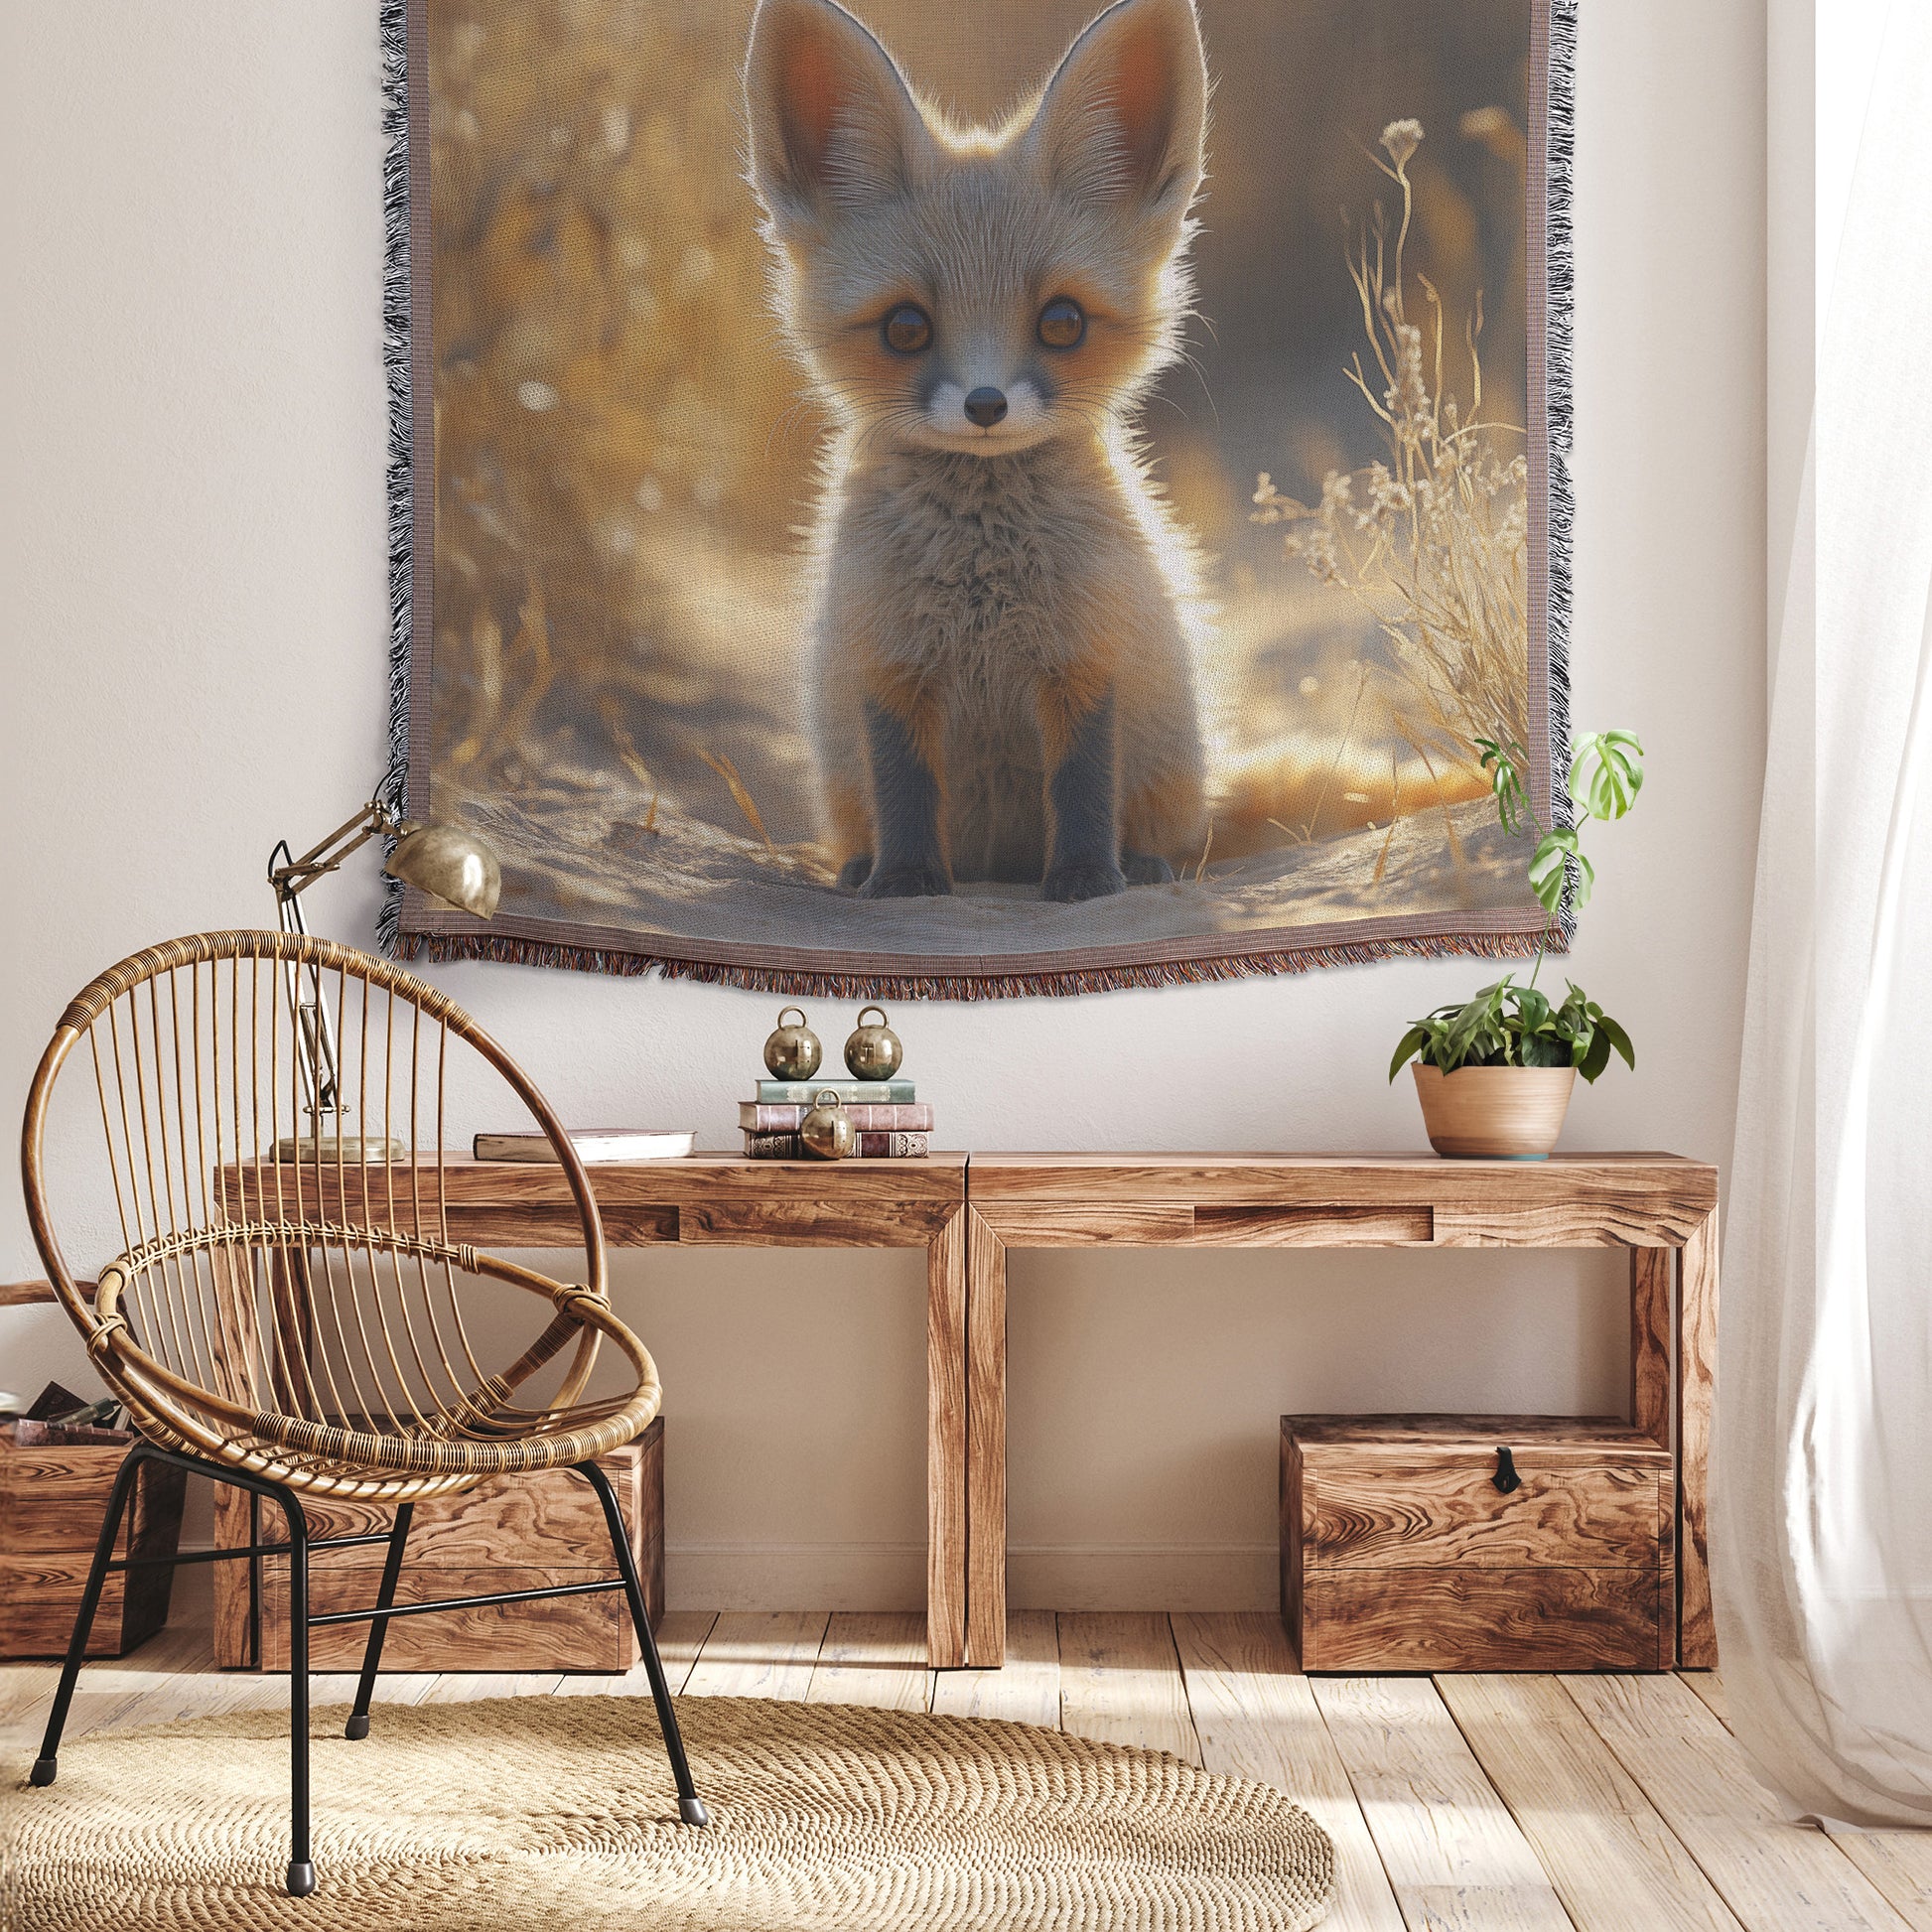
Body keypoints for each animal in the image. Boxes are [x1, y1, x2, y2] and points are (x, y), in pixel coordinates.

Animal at [743, 0, 1213, 901]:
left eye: (1061, 322)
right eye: (905, 327)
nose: (986, 406)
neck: (981, 579)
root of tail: (999, 862)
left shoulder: (1086, 657)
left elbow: (1083, 785)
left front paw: (1086, 881)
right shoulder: (886, 660)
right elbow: (902, 788)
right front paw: (903, 880)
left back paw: (1144, 863)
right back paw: (859, 866)